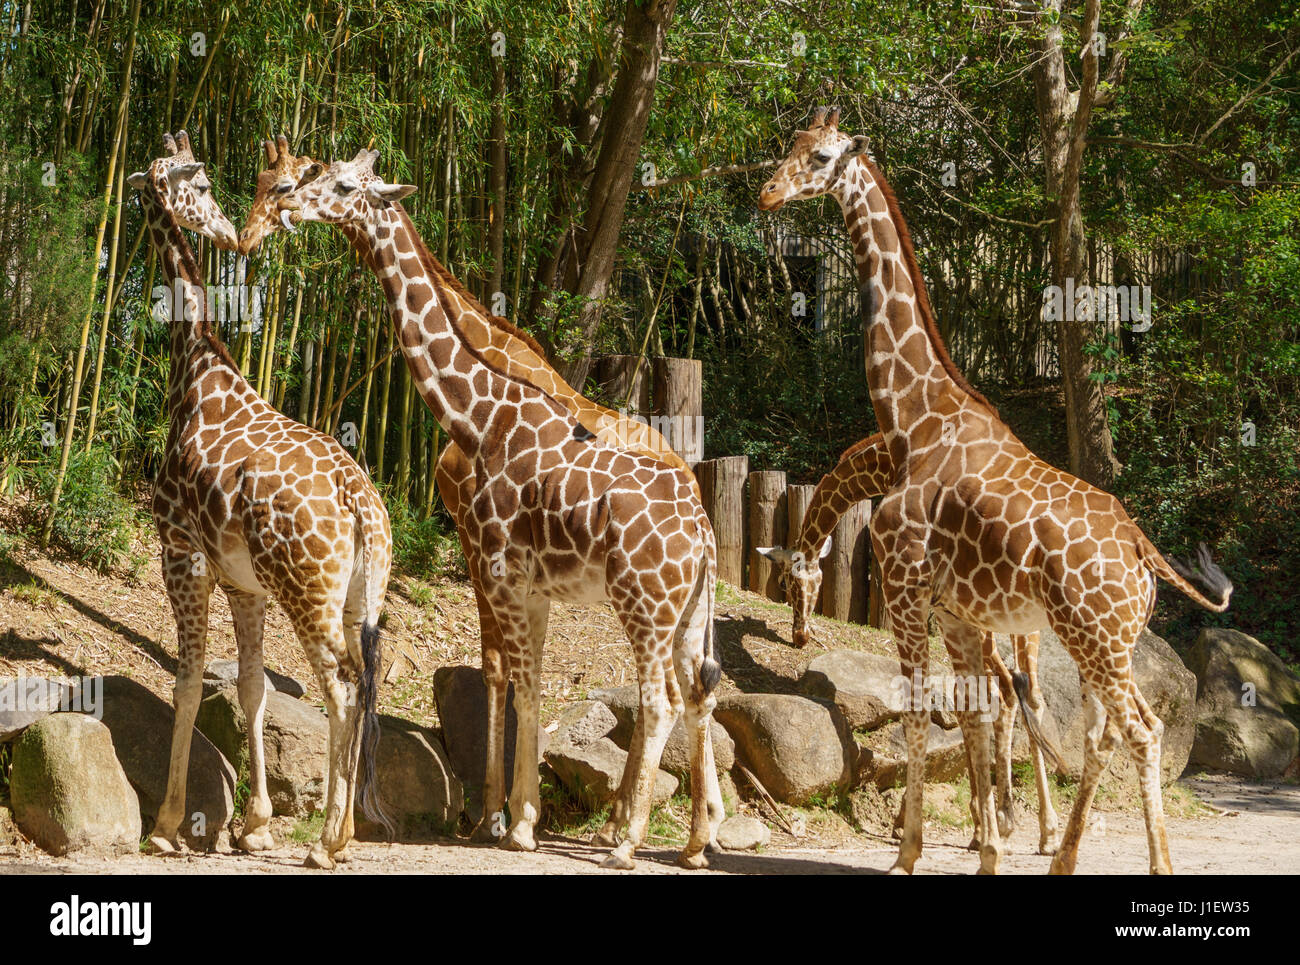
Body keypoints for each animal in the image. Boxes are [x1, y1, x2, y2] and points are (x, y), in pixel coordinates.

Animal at [128, 131, 393, 869]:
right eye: (202, 184)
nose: (228, 235)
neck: (197, 371)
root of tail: (362, 506)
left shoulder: (180, 553)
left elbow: (189, 679)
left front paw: (166, 823)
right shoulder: (245, 583)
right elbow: (251, 689)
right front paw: (256, 824)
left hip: (308, 593)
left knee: (341, 686)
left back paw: (328, 841)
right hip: (360, 597)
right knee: (366, 681)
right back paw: (345, 832)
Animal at [237, 138, 716, 848]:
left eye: (342, 183)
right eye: (308, 174)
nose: (280, 212)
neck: (478, 416)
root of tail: (706, 531)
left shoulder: (497, 568)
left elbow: (516, 680)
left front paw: (513, 823)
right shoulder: (529, 586)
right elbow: (529, 684)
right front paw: (517, 815)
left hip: (645, 604)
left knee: (661, 701)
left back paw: (625, 839)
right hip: (685, 614)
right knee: (698, 688)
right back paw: (693, 839)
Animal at [756, 431, 1062, 854]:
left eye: (787, 583)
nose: (799, 636)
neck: (886, 462)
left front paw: (914, 820)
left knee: (999, 693)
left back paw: (1001, 821)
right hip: (1024, 625)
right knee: (1027, 695)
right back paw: (1042, 830)